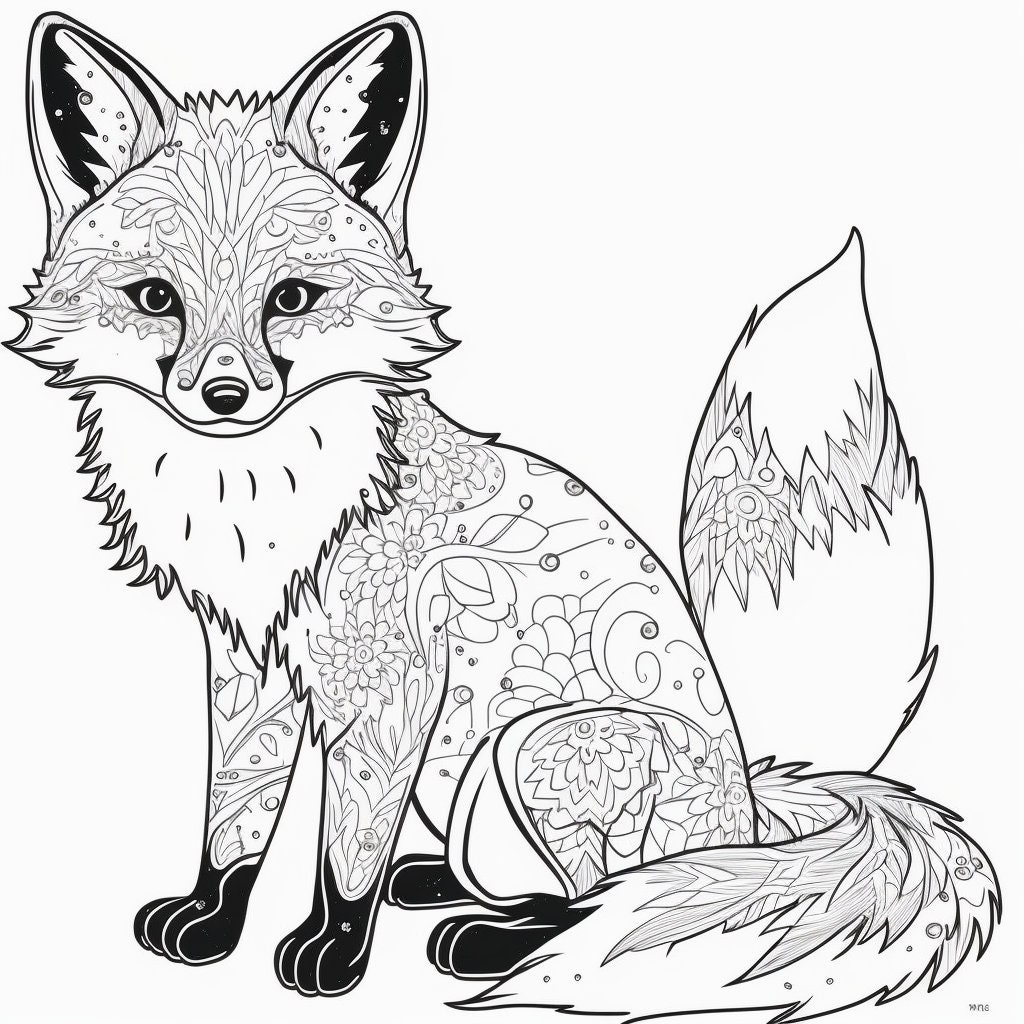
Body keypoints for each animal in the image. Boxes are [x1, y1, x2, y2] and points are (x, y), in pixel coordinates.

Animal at [6, 10, 999, 1020]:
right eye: (154, 299)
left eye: (290, 299)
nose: (224, 397)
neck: (255, 506)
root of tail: (753, 817)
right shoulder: (249, 664)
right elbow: (233, 818)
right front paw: (213, 920)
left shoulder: (388, 689)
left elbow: (344, 852)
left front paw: (334, 951)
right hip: (465, 786)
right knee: (543, 888)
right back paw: (439, 888)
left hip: (530, 748)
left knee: (607, 903)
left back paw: (483, 942)